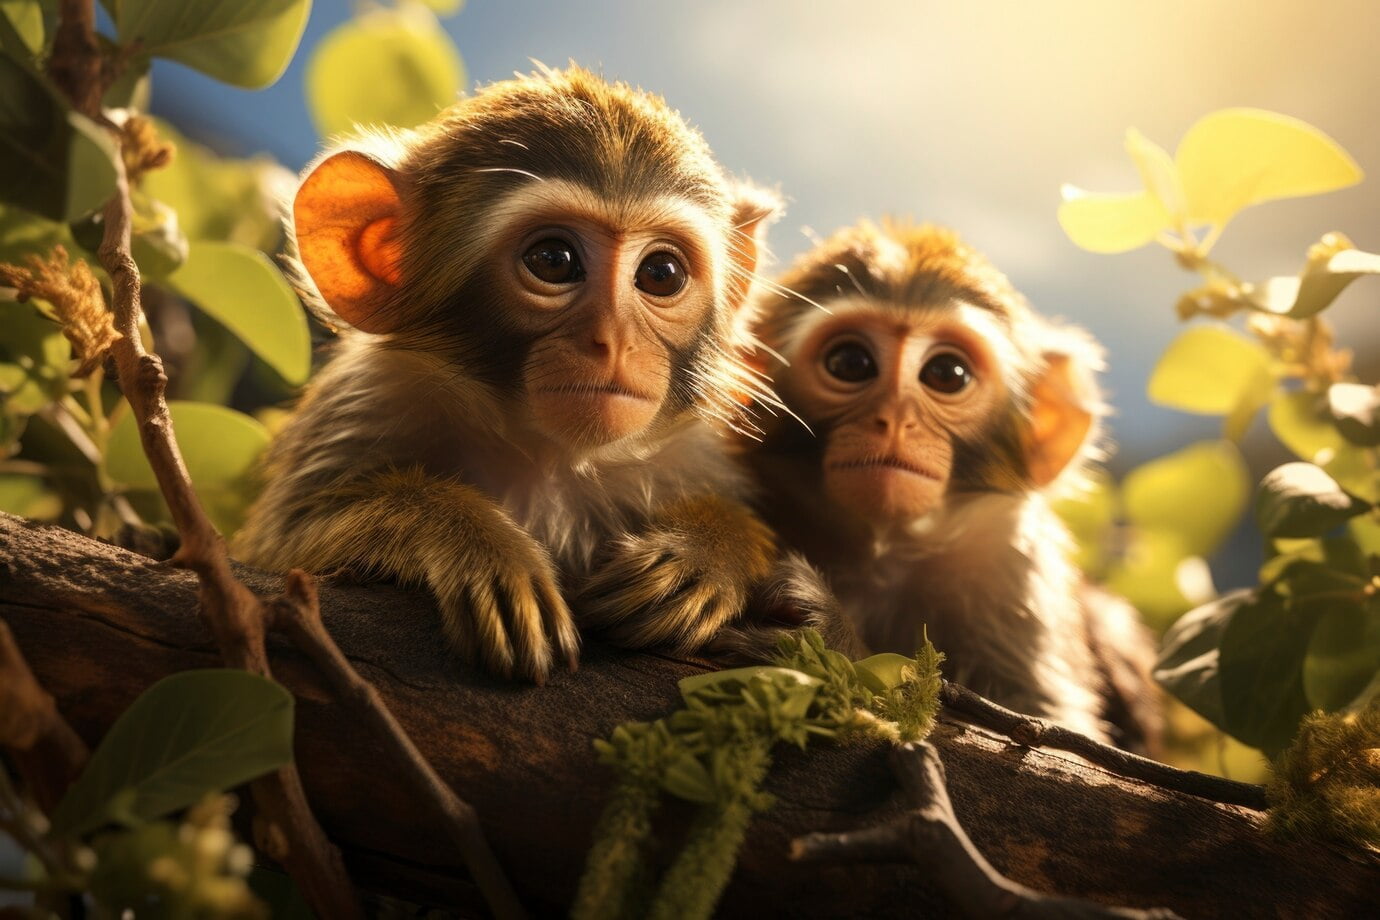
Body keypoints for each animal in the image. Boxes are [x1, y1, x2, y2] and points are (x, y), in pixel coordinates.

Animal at [233, 65, 789, 685]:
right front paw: (472, 537)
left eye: (661, 273)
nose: (613, 340)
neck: (547, 461)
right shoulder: (362, 402)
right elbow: (278, 548)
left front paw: (705, 549)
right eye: (553, 261)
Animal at [726, 220, 1161, 751]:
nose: (893, 419)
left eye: (947, 374)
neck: (881, 553)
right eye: (850, 363)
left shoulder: (1008, 564)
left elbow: (1046, 724)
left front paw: (828, 638)